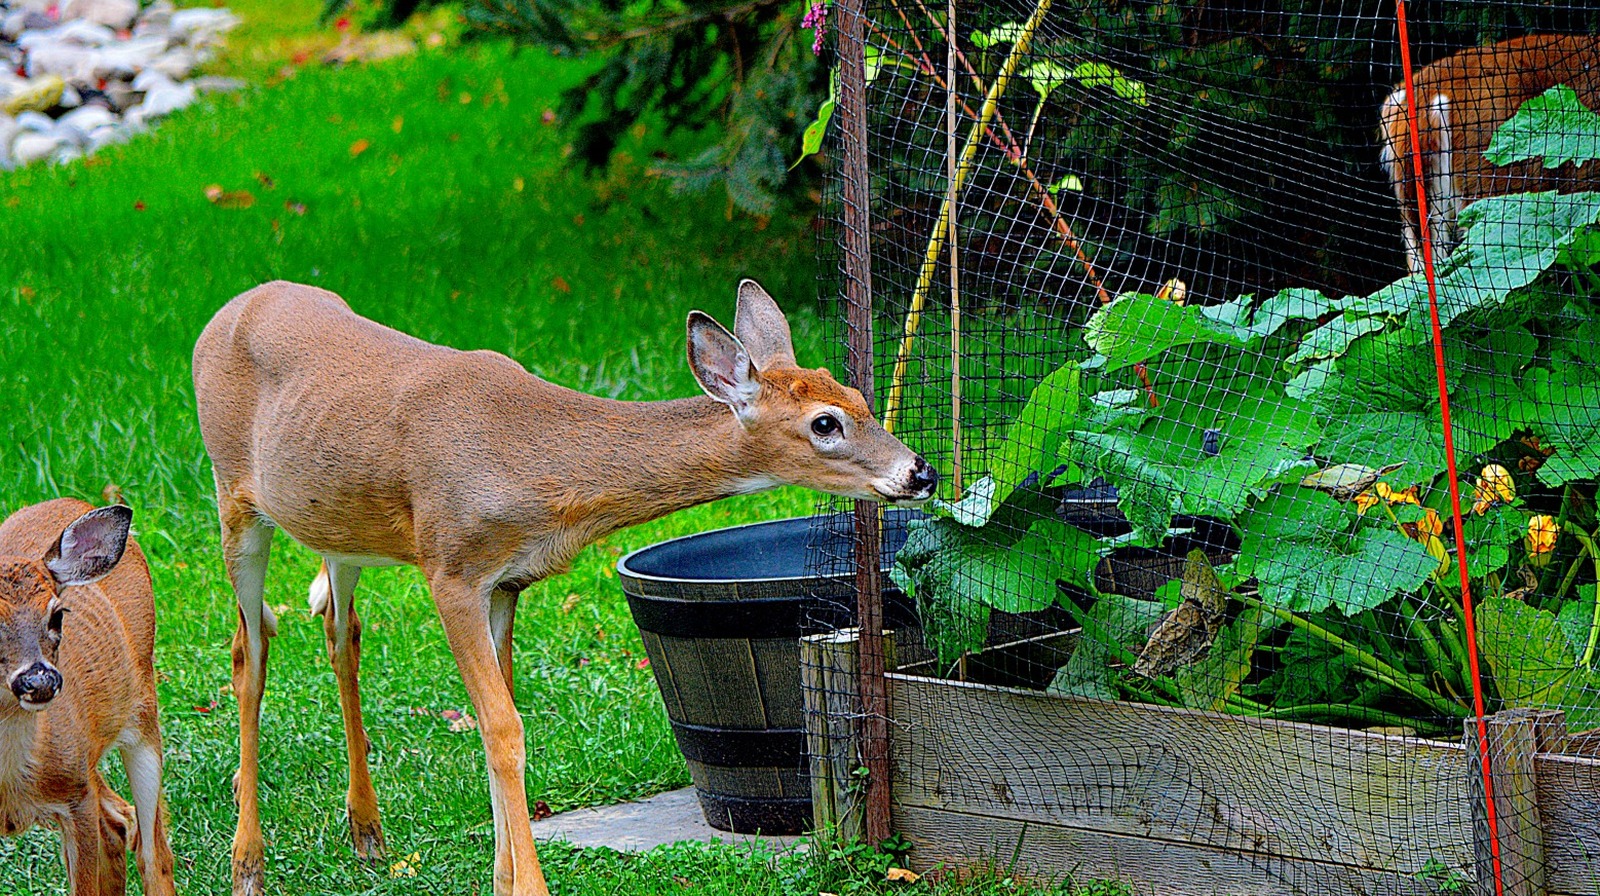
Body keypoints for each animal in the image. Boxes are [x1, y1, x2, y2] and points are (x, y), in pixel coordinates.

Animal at [0, 499, 177, 896]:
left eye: (57, 615)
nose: (40, 679)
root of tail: (74, 501)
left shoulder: (76, 798)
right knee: (118, 820)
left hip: (143, 713)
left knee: (152, 849)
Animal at [191, 278, 938, 896]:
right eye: (824, 424)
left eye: (861, 400)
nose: (921, 472)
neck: (538, 471)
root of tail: (230, 308)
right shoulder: (451, 566)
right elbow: (502, 726)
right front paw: (527, 886)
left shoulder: (507, 582)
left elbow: (497, 721)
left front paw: (500, 878)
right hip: (234, 499)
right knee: (249, 650)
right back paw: (247, 864)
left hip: (337, 525)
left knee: (338, 631)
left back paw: (368, 834)